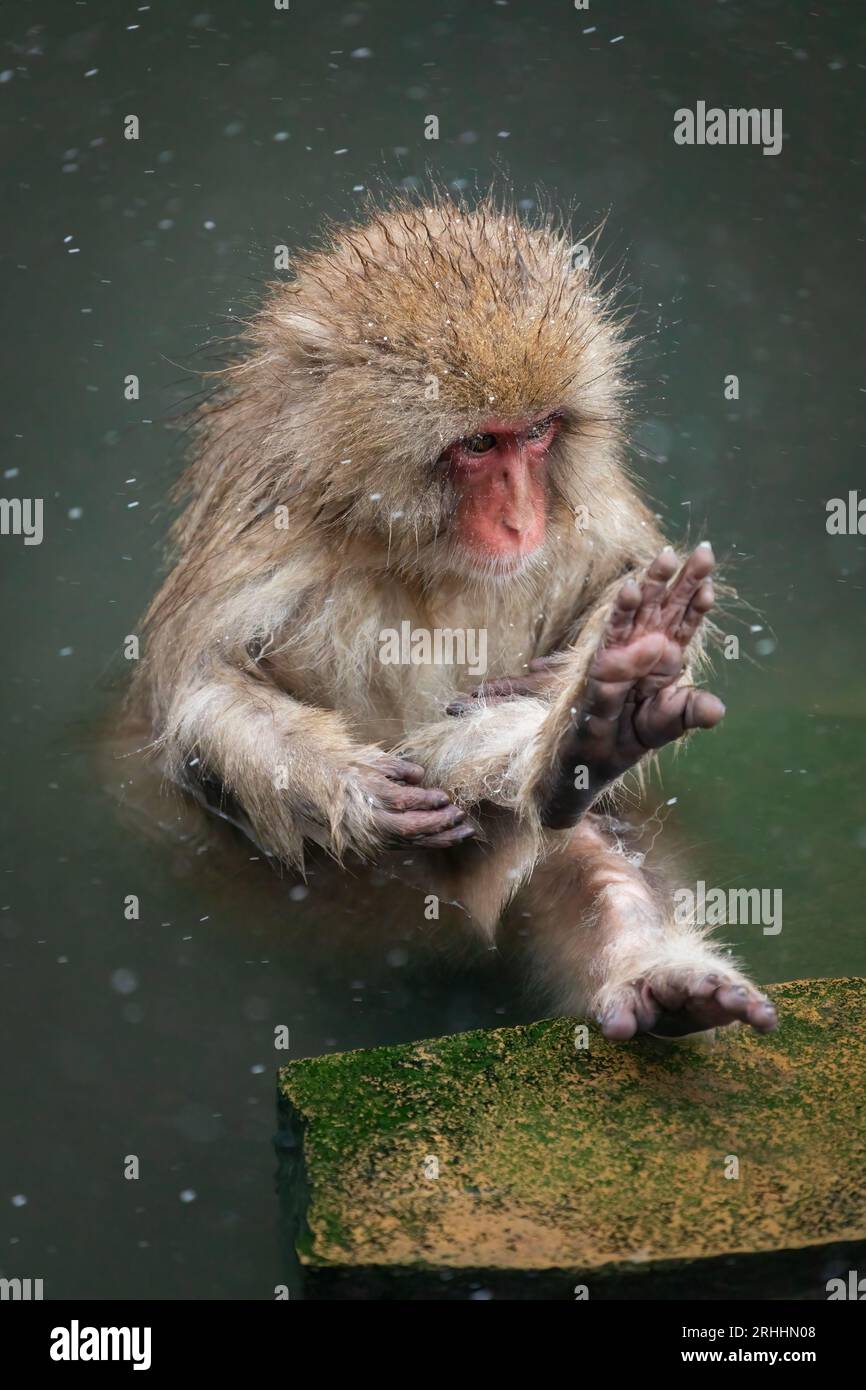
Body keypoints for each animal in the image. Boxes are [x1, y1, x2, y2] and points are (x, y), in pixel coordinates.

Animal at [129, 194, 777, 1043]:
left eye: (536, 433)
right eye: (476, 444)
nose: (521, 520)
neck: (416, 548)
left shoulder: (585, 513)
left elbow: (620, 579)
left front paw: (606, 681)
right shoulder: (261, 537)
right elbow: (205, 691)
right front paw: (356, 788)